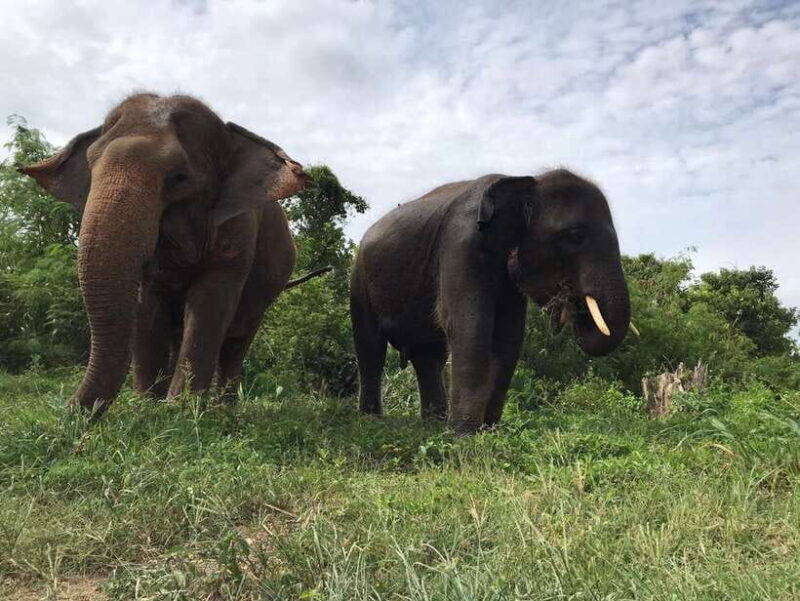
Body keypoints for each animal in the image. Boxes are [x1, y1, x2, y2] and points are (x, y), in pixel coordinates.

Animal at [20, 93, 318, 416]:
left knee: (236, 341)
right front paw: (147, 407)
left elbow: (209, 302)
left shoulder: (238, 228)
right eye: (90, 167)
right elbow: (148, 306)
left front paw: (181, 412)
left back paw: (224, 410)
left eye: (180, 178)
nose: (65, 411)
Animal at [350, 170, 631, 434]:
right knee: (370, 348)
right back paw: (371, 421)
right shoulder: (459, 244)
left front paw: (488, 431)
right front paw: (464, 436)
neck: (527, 181)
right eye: (575, 237)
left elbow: (509, 336)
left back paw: (432, 424)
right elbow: (469, 325)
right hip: (359, 278)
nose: (573, 305)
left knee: (428, 355)